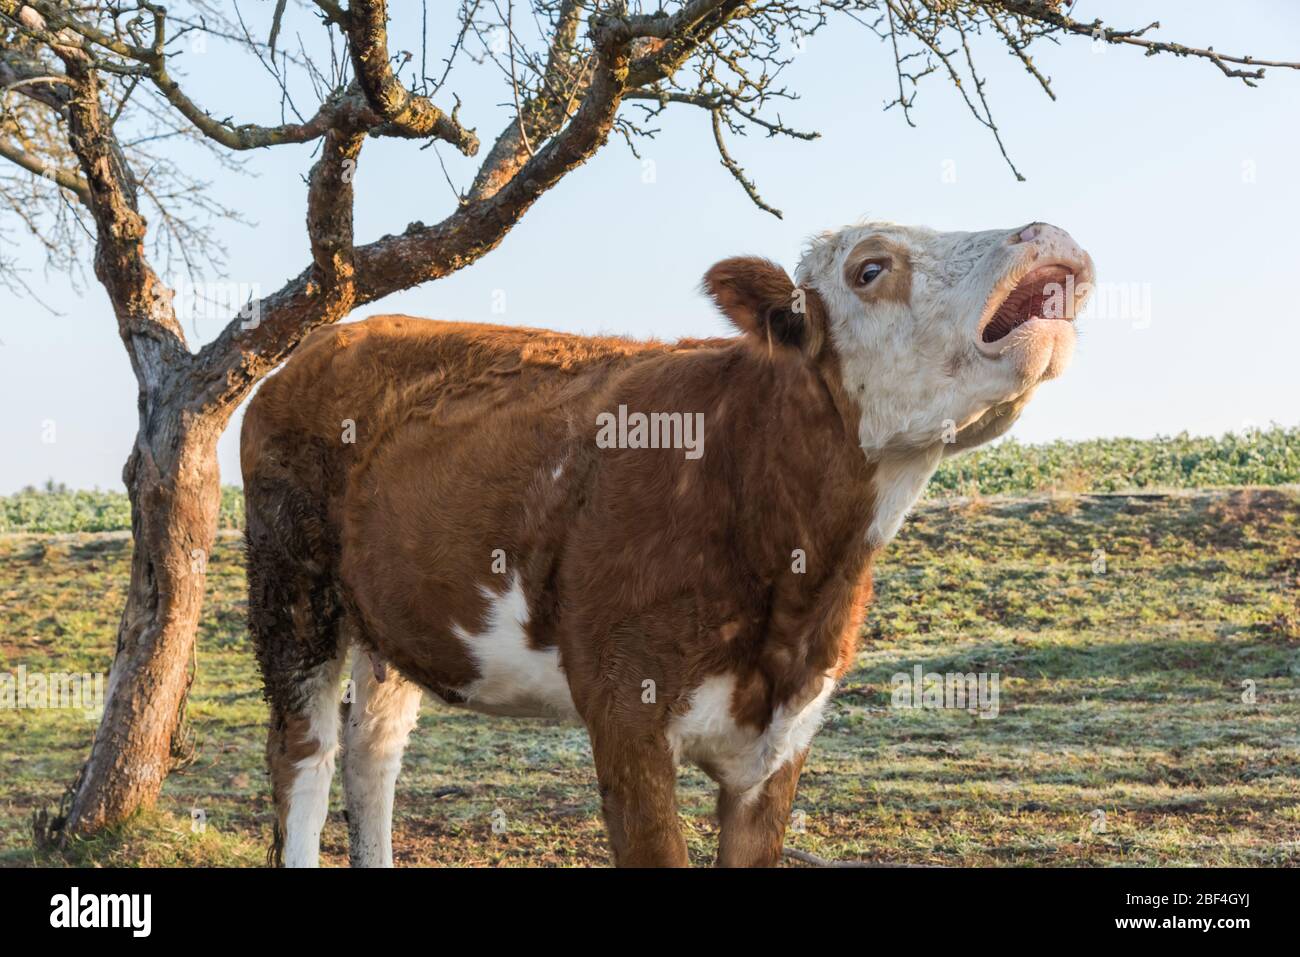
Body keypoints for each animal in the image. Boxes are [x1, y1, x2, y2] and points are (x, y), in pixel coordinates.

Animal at [240, 220, 1094, 867]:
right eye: (871, 267)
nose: (1044, 234)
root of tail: (327, 342)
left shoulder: (784, 737)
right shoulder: (627, 712)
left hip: (392, 621)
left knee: (372, 751)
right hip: (292, 589)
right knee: (304, 754)